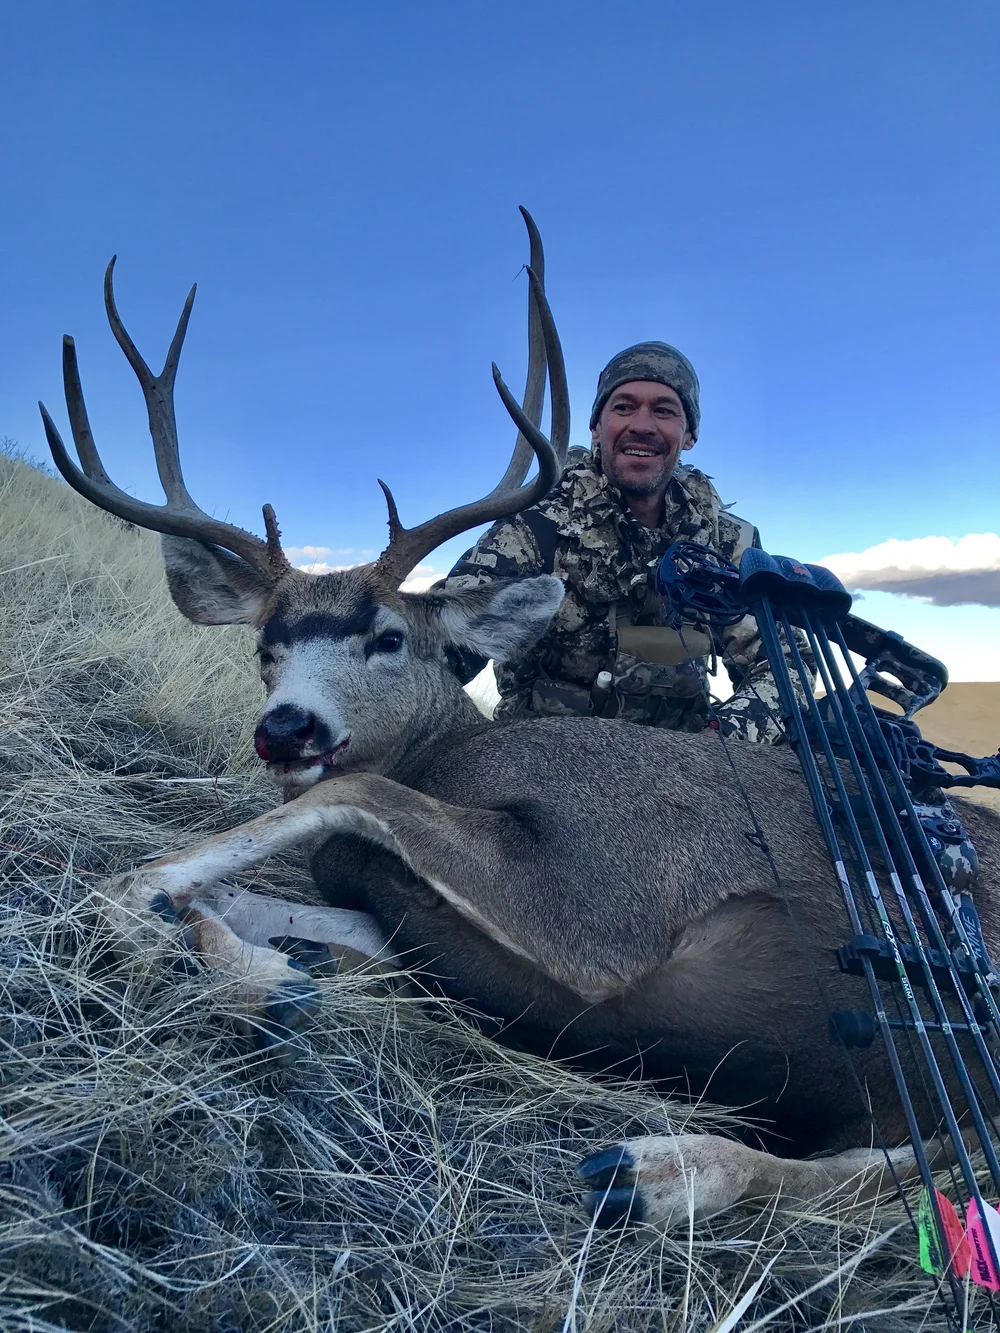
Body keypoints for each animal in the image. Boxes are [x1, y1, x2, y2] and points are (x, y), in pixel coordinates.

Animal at [39, 214, 1000, 1233]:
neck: (451, 755)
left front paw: (139, 907)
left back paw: (650, 1168)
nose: (287, 727)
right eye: (265, 643)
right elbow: (284, 903)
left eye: (389, 636)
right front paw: (255, 966)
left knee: (898, 1174)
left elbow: (352, 790)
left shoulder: (602, 895)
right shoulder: (412, 916)